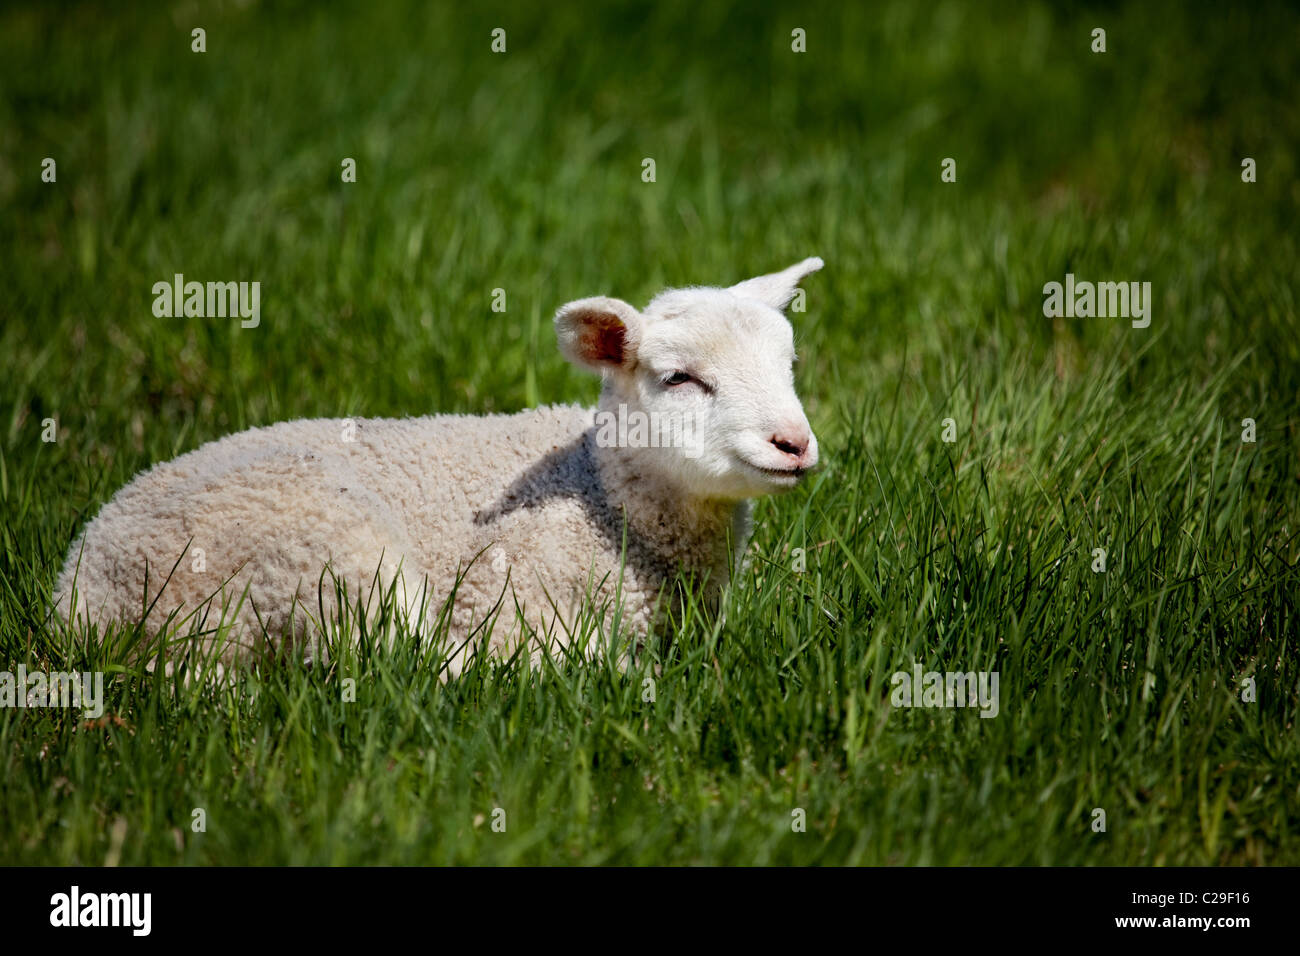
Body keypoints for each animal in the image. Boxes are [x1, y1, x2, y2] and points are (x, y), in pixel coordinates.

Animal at [54, 257, 824, 676]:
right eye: (680, 378)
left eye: (790, 364)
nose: (794, 443)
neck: (600, 499)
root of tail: (81, 598)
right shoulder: (519, 601)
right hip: (320, 555)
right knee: (405, 664)